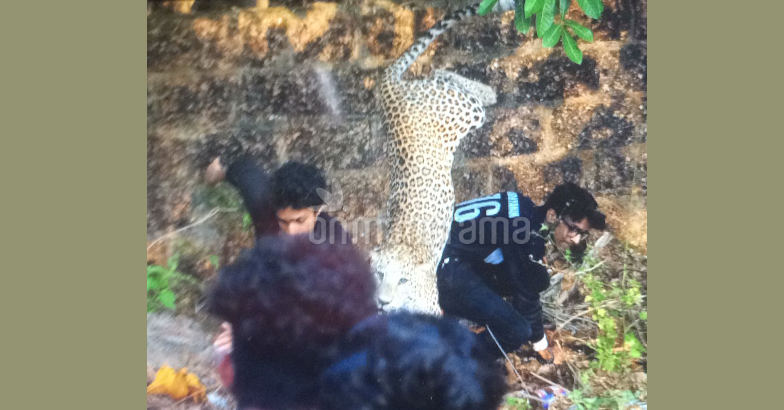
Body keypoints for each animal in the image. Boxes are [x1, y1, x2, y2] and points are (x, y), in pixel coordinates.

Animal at [371, 0, 516, 314]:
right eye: (378, 274)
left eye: (403, 280)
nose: (383, 302)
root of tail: (390, 90)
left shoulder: (432, 310)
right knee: (437, 73)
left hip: (464, 113)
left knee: (445, 78)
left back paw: (489, 92)